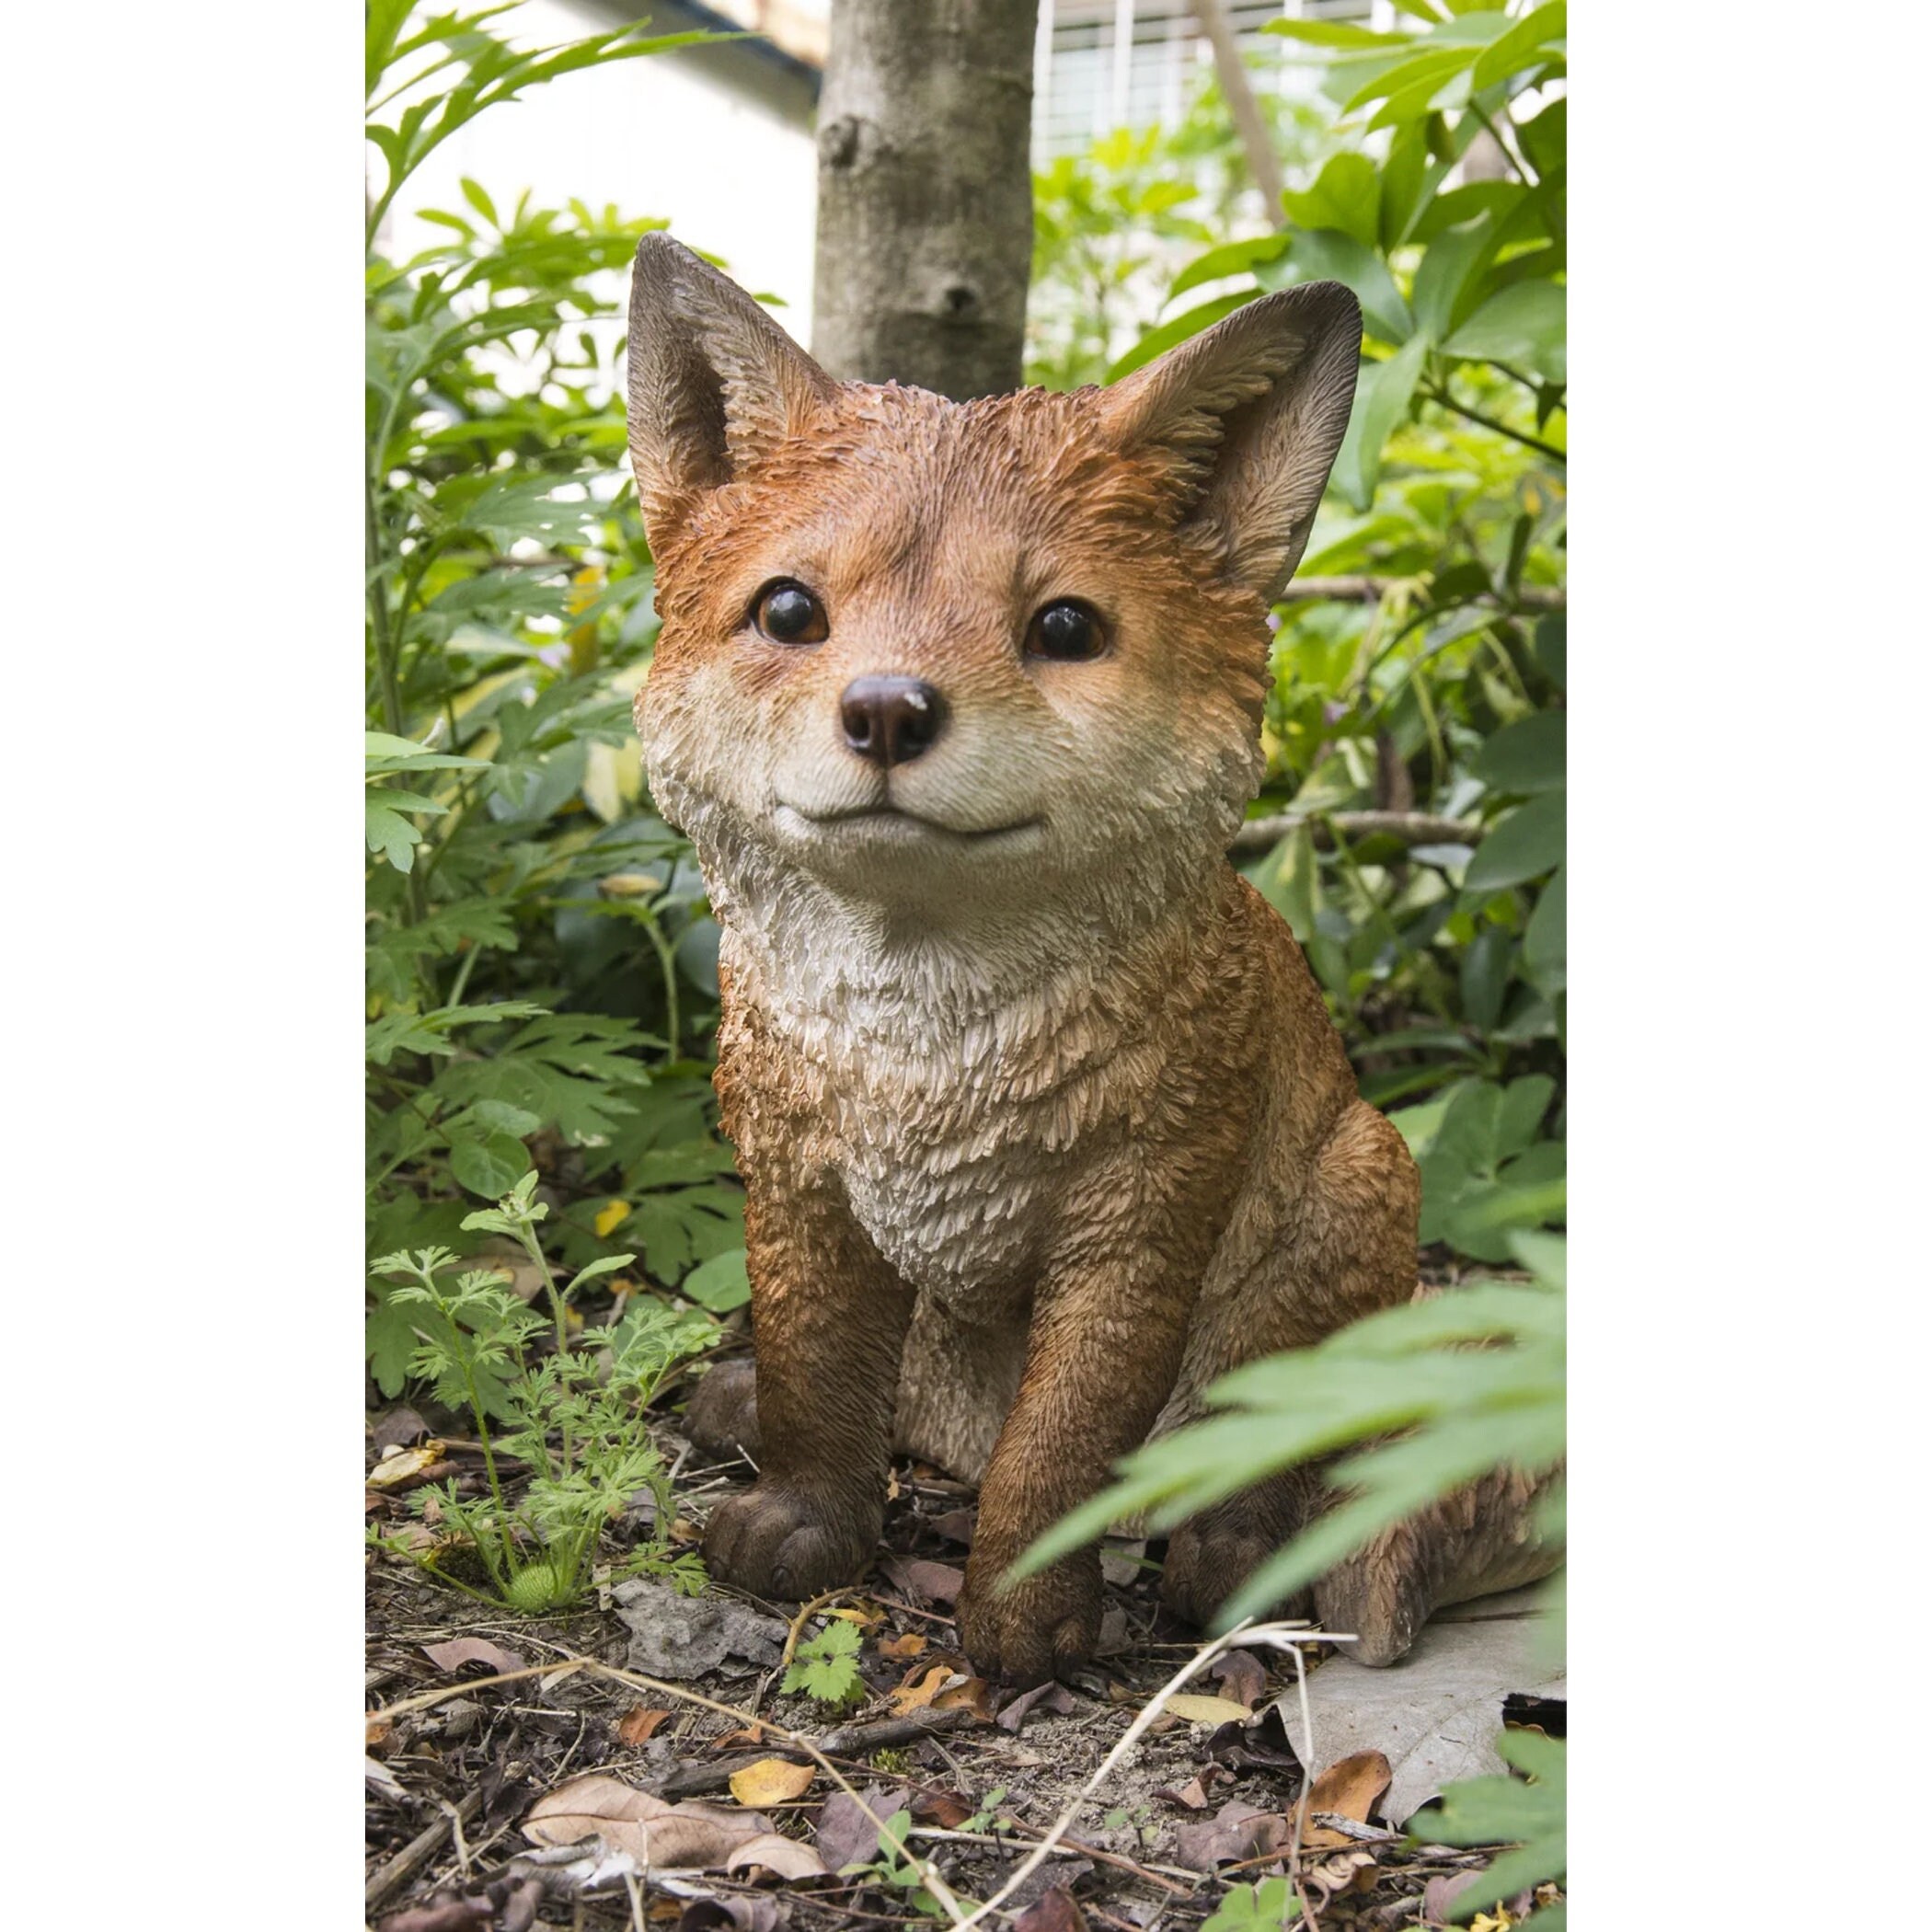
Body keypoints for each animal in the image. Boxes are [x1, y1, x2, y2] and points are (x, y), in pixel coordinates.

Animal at [624, 234, 1554, 1686]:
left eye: (1063, 629)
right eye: (788, 610)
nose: (886, 711)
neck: (926, 1057)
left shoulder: (1142, 1214)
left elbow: (1062, 1449)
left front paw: (1027, 1617)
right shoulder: (794, 1176)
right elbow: (817, 1372)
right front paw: (803, 1520)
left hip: (1360, 1185)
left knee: (1269, 1455)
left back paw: (1231, 1557)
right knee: (900, 1411)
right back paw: (750, 1404)